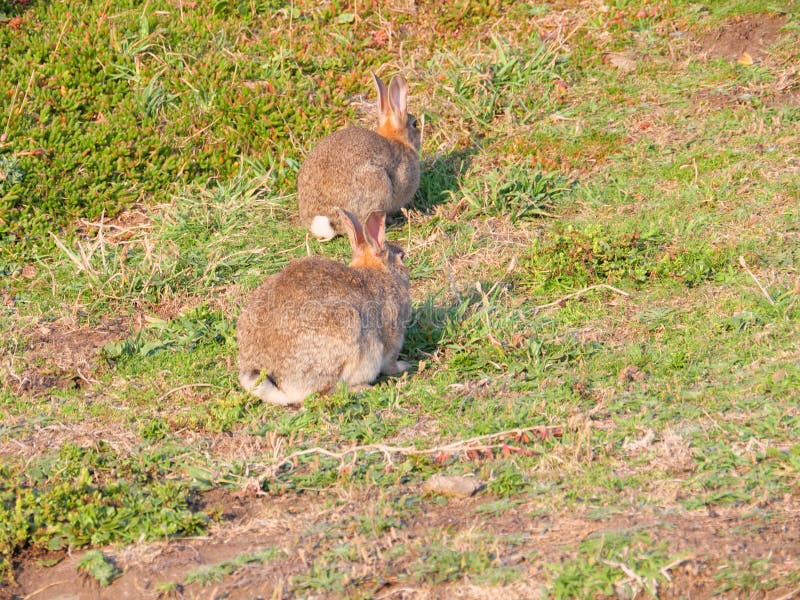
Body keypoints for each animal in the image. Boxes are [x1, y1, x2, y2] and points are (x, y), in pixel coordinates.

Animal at [236, 209, 411, 405]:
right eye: (402, 257)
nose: (407, 271)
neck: (379, 272)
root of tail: (281, 386)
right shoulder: (393, 335)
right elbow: (390, 362)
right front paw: (403, 366)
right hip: (347, 334)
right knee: (326, 392)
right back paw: (362, 388)